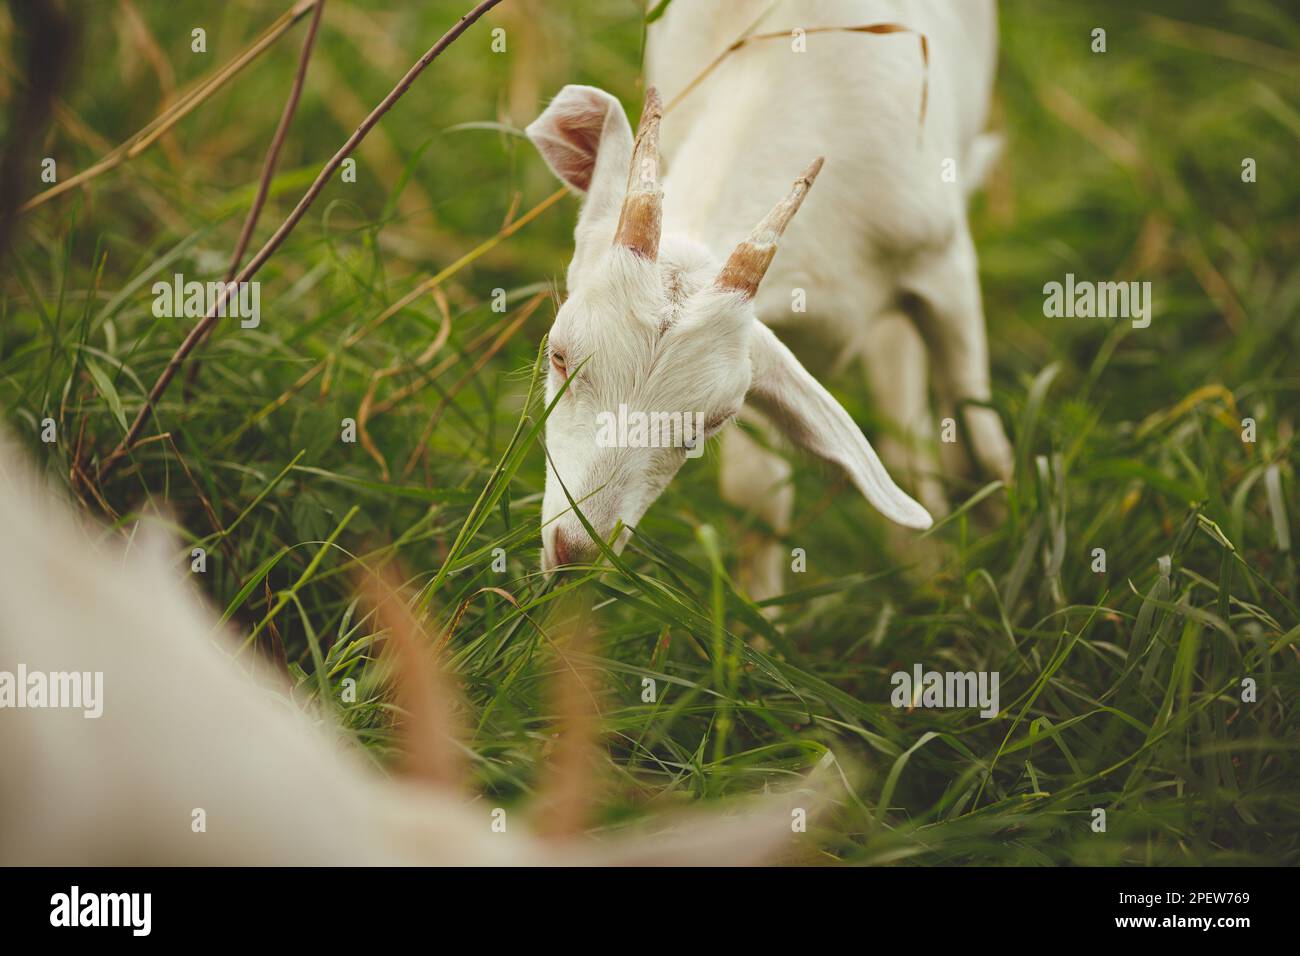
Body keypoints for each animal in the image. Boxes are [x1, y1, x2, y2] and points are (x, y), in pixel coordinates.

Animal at [526, 0, 1013, 597]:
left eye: (708, 425)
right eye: (559, 356)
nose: (572, 555)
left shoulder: (945, 264)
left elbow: (988, 452)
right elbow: (757, 498)